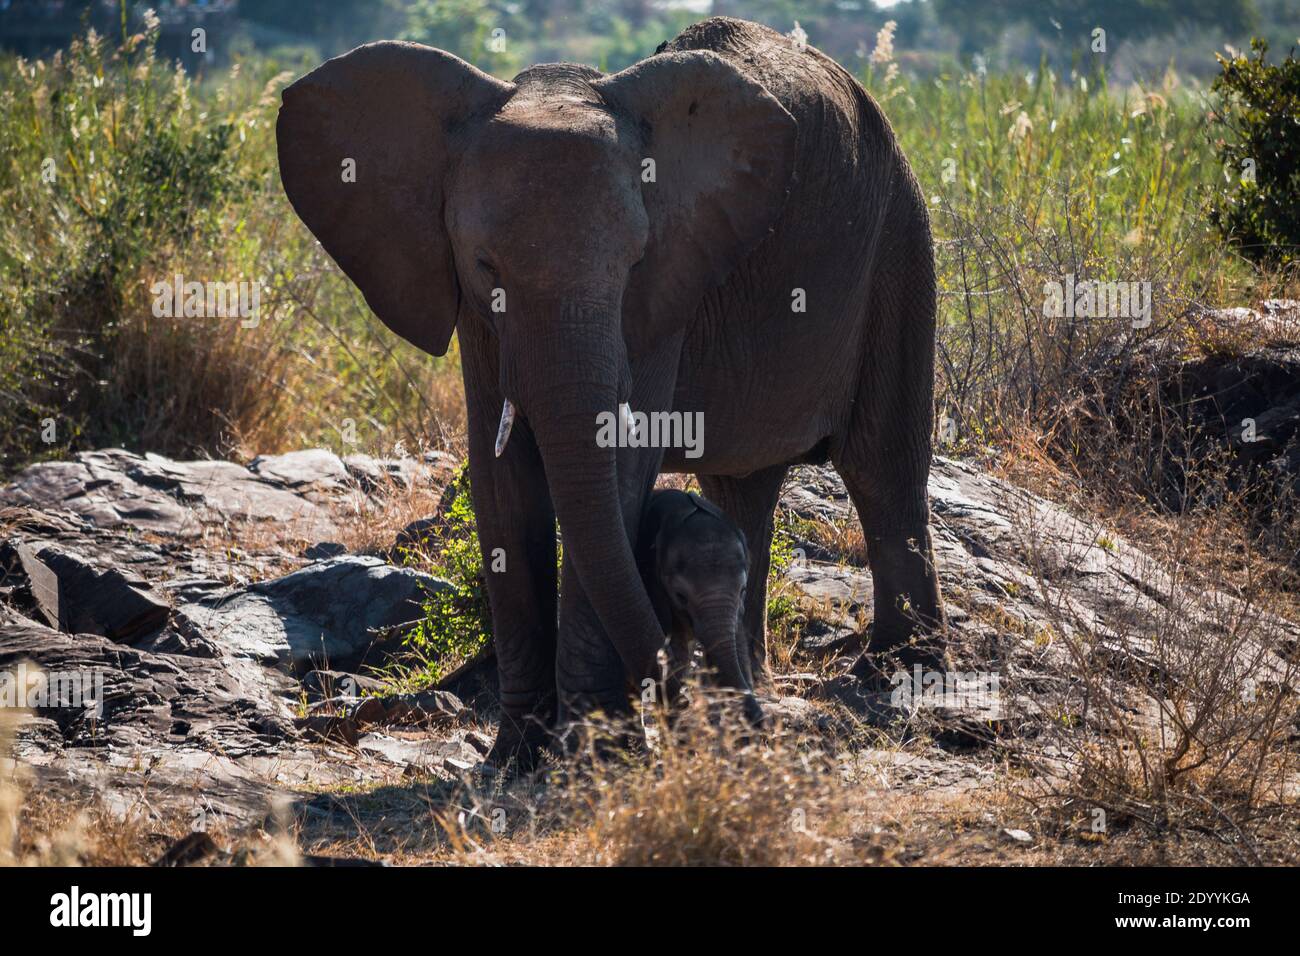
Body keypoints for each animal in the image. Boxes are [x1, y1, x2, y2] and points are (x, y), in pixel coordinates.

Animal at [635, 489, 762, 725]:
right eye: (680, 596)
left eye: (743, 590)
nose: (759, 719)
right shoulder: (652, 586)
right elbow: (675, 648)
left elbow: (736, 637)